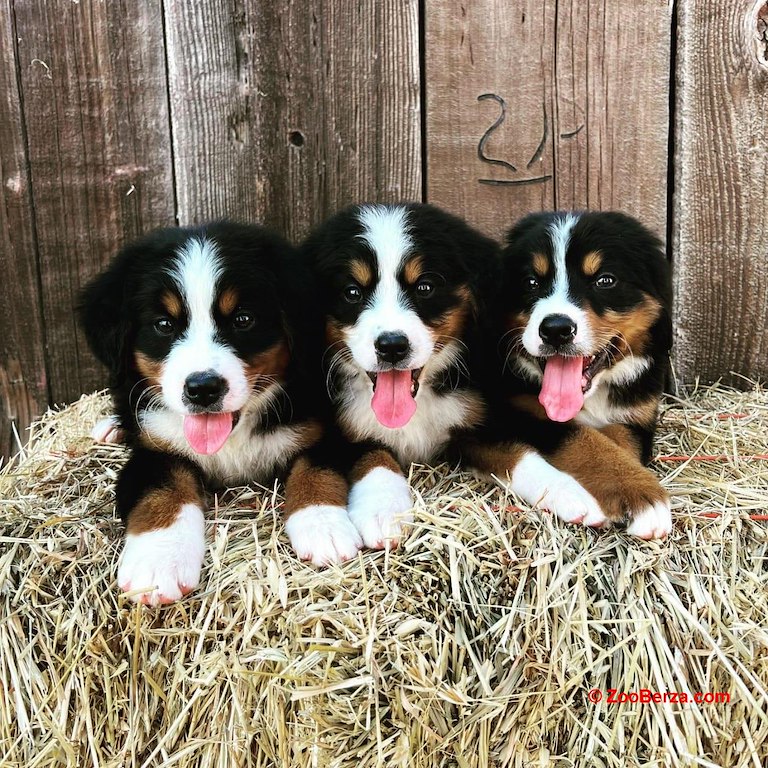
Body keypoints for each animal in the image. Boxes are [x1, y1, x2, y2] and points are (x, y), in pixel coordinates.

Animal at [79, 219, 362, 604]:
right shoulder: (155, 451)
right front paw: (158, 564)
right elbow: (162, 492)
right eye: (164, 325)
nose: (202, 388)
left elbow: (315, 471)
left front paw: (324, 527)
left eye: (243, 319)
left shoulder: (320, 430)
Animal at [296, 201, 500, 556]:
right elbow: (376, 458)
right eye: (352, 292)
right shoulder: (343, 430)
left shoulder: (478, 419)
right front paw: (382, 512)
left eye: (425, 288)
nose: (392, 346)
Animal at [486, 207, 672, 536]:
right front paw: (643, 495)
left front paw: (633, 486)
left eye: (605, 280)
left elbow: (619, 441)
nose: (556, 329)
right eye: (531, 282)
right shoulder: (518, 410)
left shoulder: (638, 416)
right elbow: (585, 439)